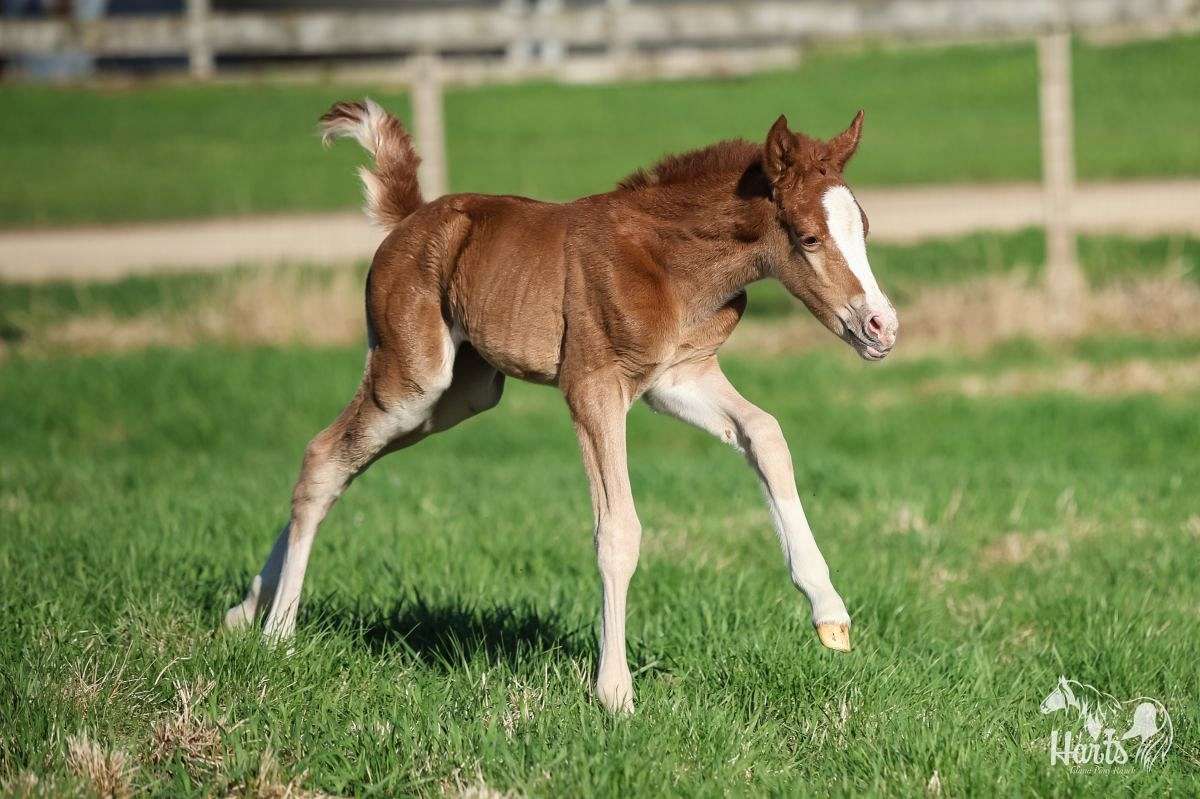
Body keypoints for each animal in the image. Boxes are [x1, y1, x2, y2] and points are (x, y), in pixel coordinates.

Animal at [224, 98, 899, 713]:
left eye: (864, 229)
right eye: (809, 237)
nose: (881, 326)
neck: (669, 260)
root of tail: (409, 218)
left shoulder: (677, 378)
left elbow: (766, 435)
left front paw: (829, 612)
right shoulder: (593, 387)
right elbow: (619, 530)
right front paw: (615, 694)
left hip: (458, 396)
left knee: (343, 461)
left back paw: (246, 609)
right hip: (411, 377)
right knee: (323, 455)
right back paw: (278, 633)